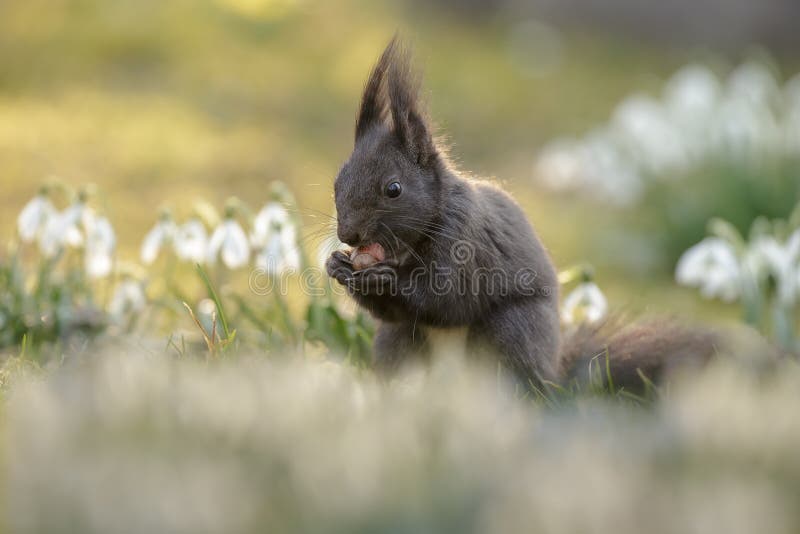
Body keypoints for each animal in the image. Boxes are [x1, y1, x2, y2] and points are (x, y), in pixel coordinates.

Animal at [325, 37, 719, 392]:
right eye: (336, 182)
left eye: (393, 188)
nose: (348, 235)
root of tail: (555, 372)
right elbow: (391, 312)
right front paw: (337, 265)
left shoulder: (465, 241)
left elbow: (445, 298)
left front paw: (382, 278)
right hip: (397, 342)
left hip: (512, 329)